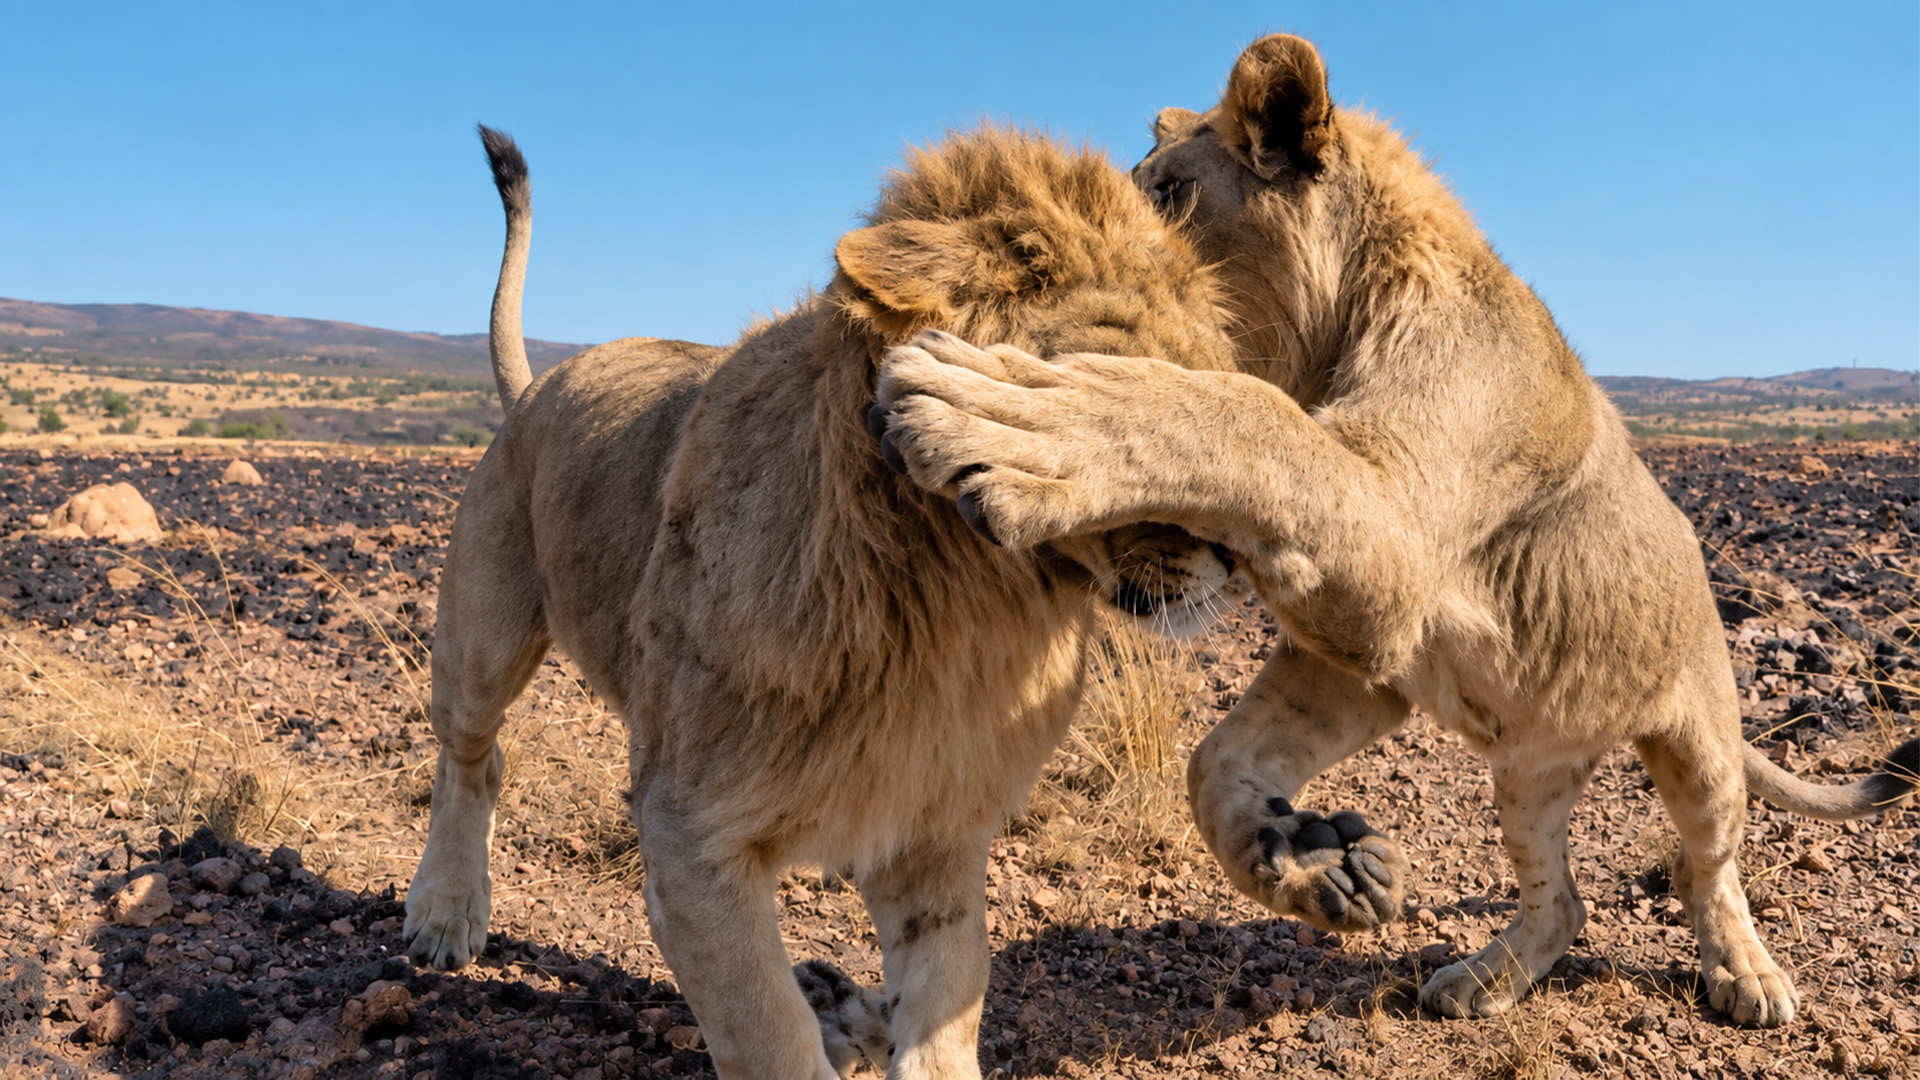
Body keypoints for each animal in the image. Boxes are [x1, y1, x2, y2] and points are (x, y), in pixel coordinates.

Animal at [401, 124, 1250, 1078]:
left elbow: (951, 990)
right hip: (482, 640)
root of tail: (544, 381)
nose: (1238, 549)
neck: (962, 591)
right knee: (472, 757)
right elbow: (765, 1029)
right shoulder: (689, 831)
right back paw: (445, 913)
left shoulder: (933, 830)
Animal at [871, 34, 1919, 1028]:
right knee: (1563, 900)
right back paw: (1483, 982)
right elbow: (1213, 763)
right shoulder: (1369, 652)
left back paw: (1747, 977)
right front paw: (1311, 867)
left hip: (1700, 738)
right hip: (1531, 773)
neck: (1339, 328)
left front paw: (1004, 416)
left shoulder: (1391, 541)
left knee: (1712, 868)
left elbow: (1234, 415)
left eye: (1169, 194)